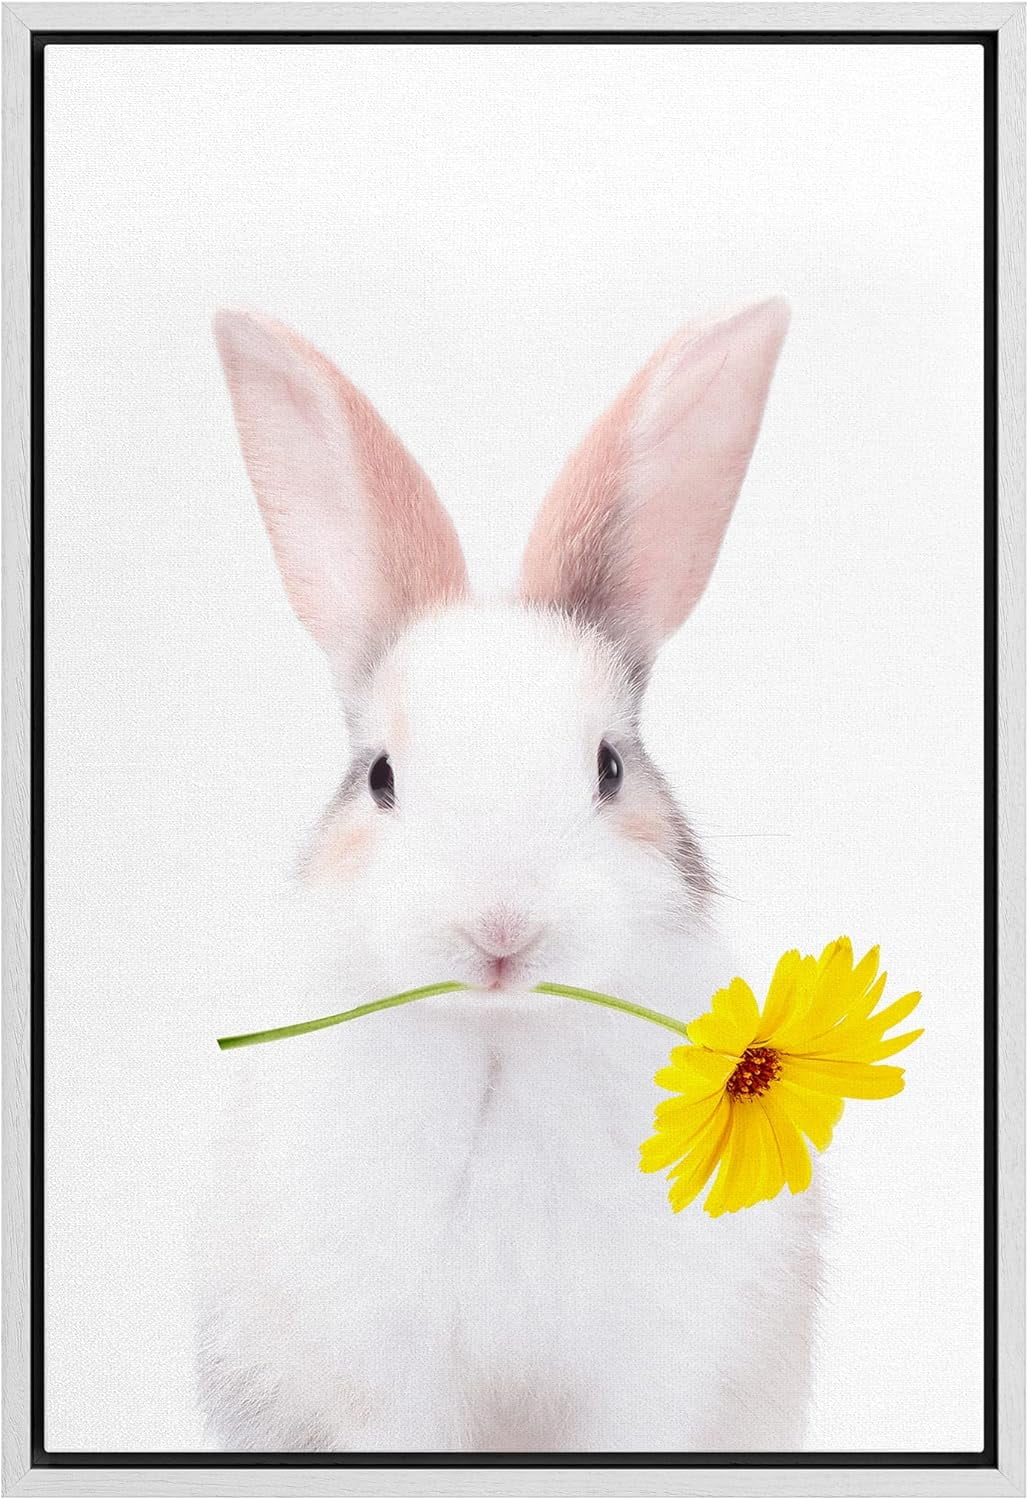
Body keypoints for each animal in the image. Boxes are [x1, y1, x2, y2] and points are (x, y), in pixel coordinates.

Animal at [197, 297, 821, 1454]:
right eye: (381, 778)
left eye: (610, 768)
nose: (499, 928)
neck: (499, 1043)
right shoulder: (387, 1373)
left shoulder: (643, 1367)